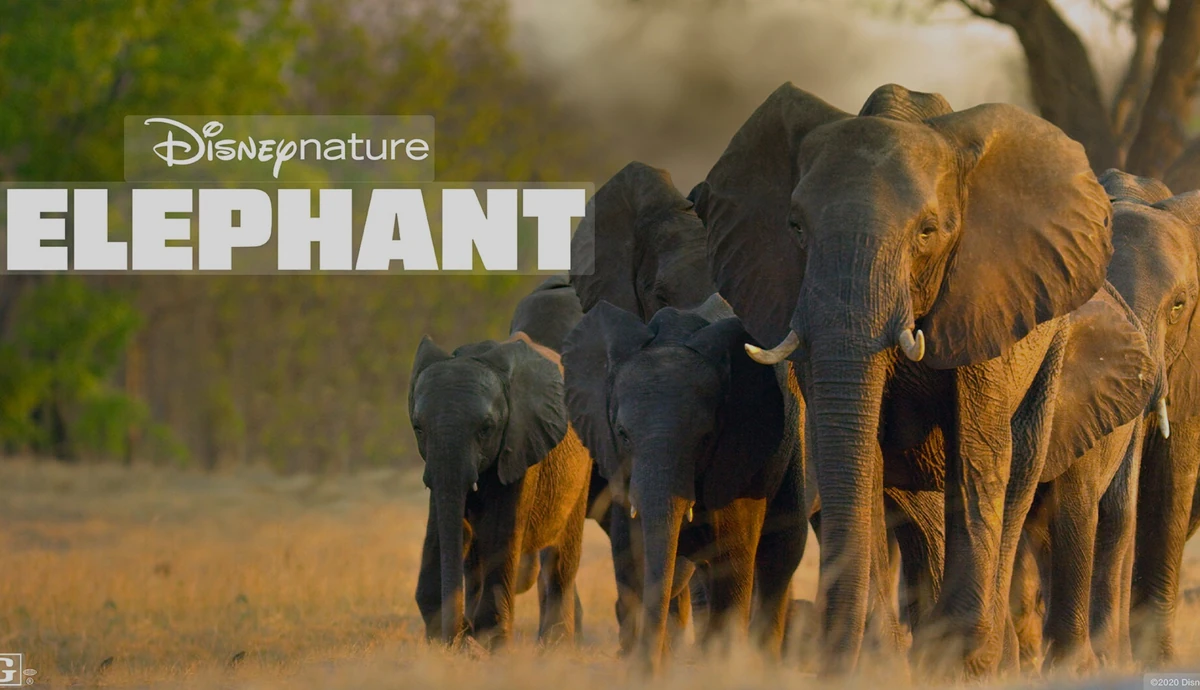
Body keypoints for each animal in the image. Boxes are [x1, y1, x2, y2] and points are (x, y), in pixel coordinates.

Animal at [409, 328, 592, 649]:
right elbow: (441, 532)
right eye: (418, 428)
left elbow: (500, 533)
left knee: (561, 559)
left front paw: (489, 643)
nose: (460, 634)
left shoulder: (520, 443)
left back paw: (555, 646)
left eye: (486, 429)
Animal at [562, 292, 808, 672]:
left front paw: (721, 668)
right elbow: (632, 556)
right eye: (622, 434)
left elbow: (732, 557)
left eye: (705, 438)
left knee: (781, 552)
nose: (648, 667)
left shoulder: (740, 450)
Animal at [695, 82, 1120, 677]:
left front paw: (959, 660)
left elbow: (978, 453)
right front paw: (885, 661)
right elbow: (856, 455)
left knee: (1018, 472)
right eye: (795, 227)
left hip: (1053, 344)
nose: (829, 659)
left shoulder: (984, 296)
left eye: (927, 232)